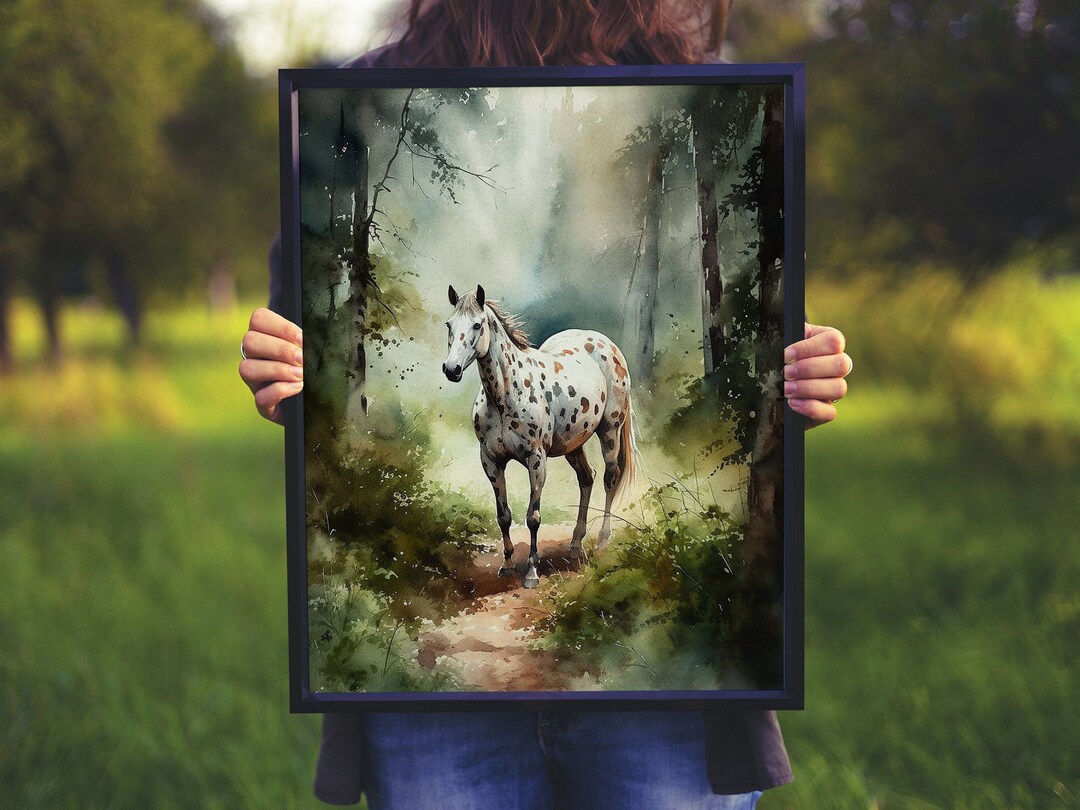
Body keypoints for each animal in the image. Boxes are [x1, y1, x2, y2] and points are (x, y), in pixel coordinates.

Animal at [442, 284, 638, 588]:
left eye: (477, 324)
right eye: (449, 325)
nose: (451, 370)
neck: (504, 394)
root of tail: (605, 343)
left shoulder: (536, 459)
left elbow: (532, 517)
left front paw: (532, 573)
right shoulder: (491, 461)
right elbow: (504, 516)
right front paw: (507, 565)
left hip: (609, 430)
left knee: (609, 477)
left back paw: (603, 541)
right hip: (573, 444)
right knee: (587, 478)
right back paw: (575, 546)